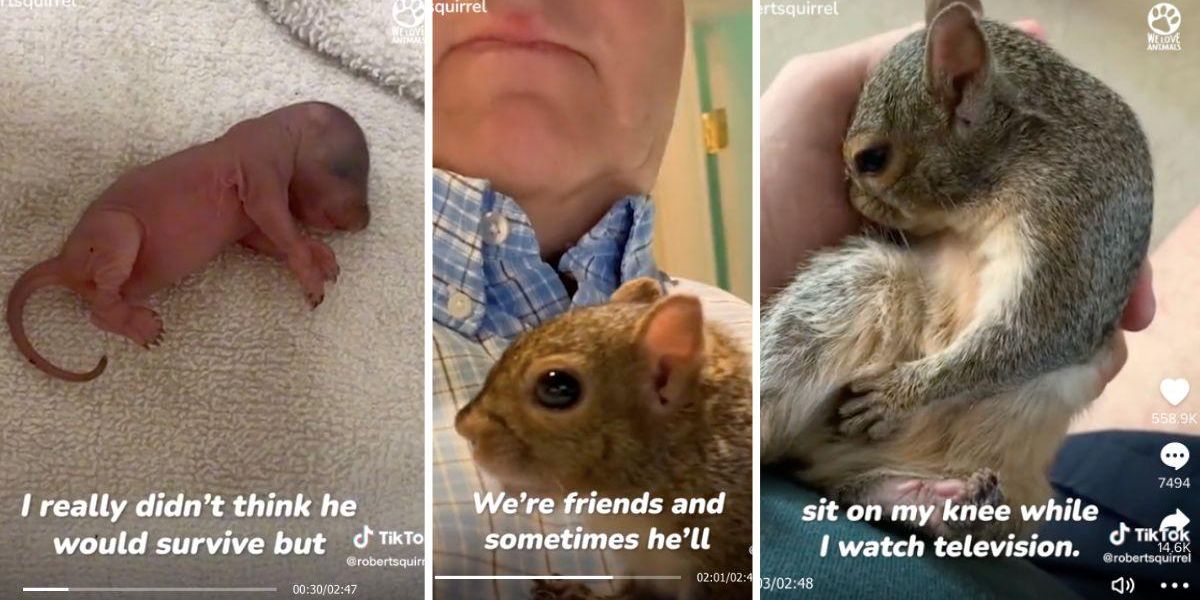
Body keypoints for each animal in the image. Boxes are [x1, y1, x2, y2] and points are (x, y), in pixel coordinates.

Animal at [6, 102, 370, 382]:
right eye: (346, 169)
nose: (366, 221)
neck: (283, 125)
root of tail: (64, 261)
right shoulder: (261, 161)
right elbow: (276, 219)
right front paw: (310, 272)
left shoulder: (250, 226)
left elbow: (269, 237)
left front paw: (319, 253)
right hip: (117, 230)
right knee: (100, 310)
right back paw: (136, 324)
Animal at [761, 0, 1152, 539]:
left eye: (871, 159)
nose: (854, 200)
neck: (1021, 153)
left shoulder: (1080, 231)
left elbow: (1039, 333)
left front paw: (900, 396)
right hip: (852, 295)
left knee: (859, 492)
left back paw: (940, 499)